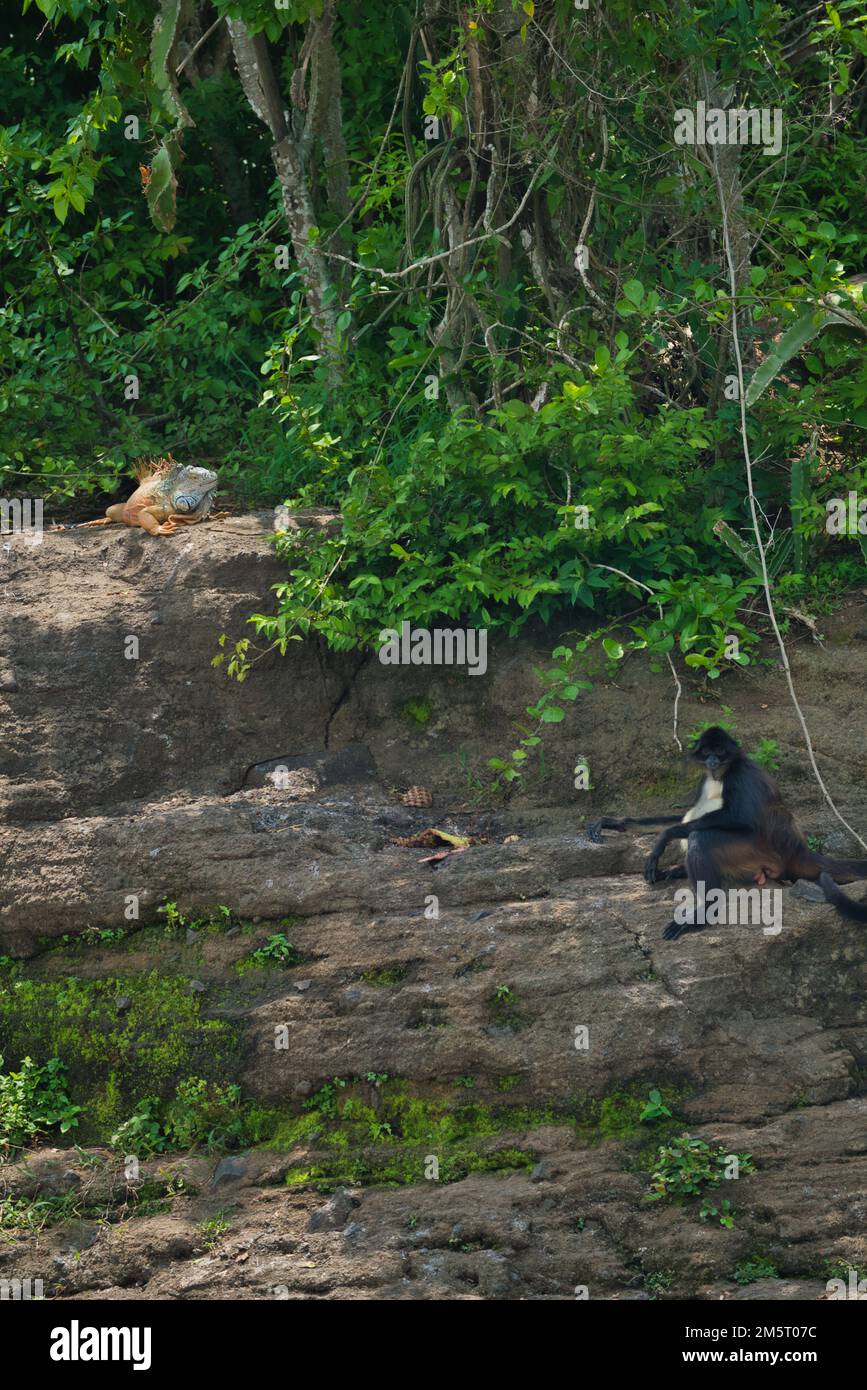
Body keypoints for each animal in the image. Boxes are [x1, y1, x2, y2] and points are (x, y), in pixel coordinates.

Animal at [587, 726, 867, 939]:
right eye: (707, 752)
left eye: (720, 752)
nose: (712, 760)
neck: (720, 774)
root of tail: (796, 850)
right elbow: (681, 815)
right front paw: (613, 822)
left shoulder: (741, 774)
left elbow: (741, 820)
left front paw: (664, 839)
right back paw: (675, 872)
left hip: (757, 852)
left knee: (700, 837)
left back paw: (702, 913)